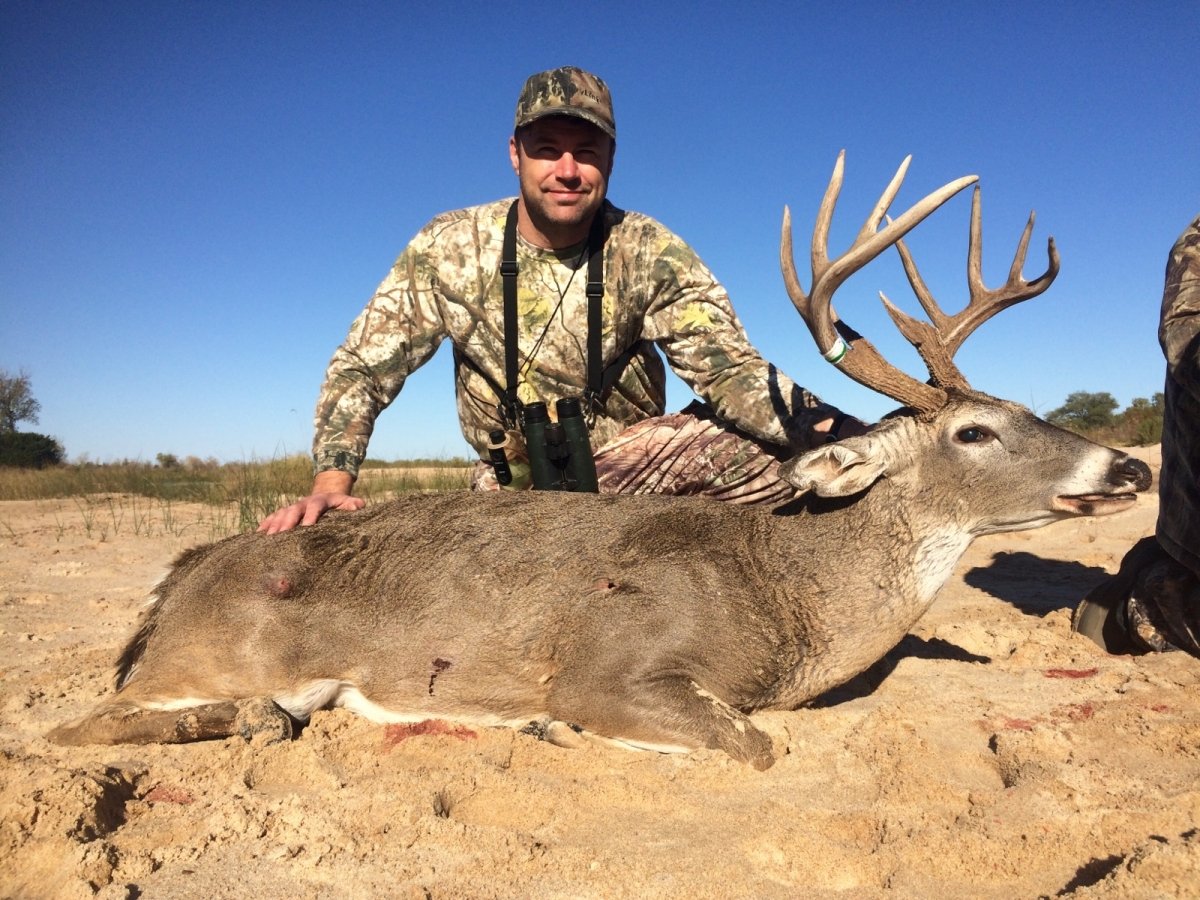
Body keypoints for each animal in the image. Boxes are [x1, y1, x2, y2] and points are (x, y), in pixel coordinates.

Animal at [48, 153, 1151, 769]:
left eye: (1029, 408)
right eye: (976, 432)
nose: (1127, 471)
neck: (790, 592)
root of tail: (179, 576)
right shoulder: (608, 667)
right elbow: (752, 745)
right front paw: (552, 732)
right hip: (214, 654)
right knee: (80, 726)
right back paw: (249, 715)